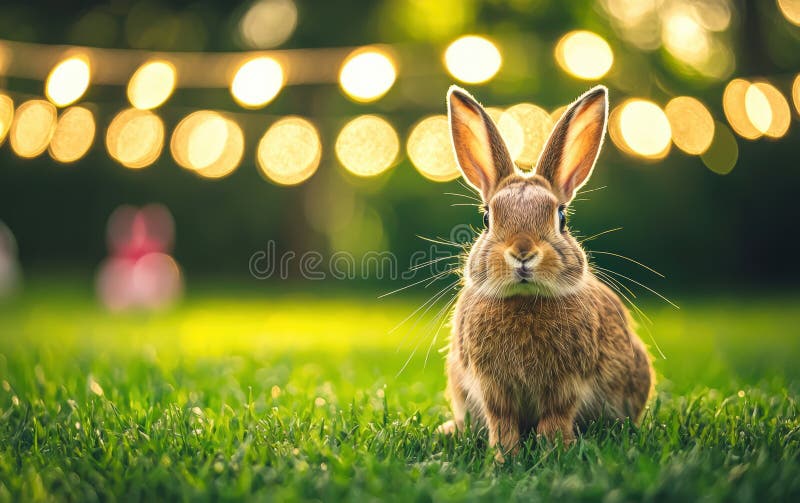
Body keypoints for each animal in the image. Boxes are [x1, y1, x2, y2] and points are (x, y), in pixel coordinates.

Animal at [438, 85, 654, 461]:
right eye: (487, 218)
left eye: (561, 218)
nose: (523, 253)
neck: (525, 301)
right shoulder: (492, 388)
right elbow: (502, 422)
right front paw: (504, 457)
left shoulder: (566, 386)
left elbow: (555, 419)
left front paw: (555, 452)